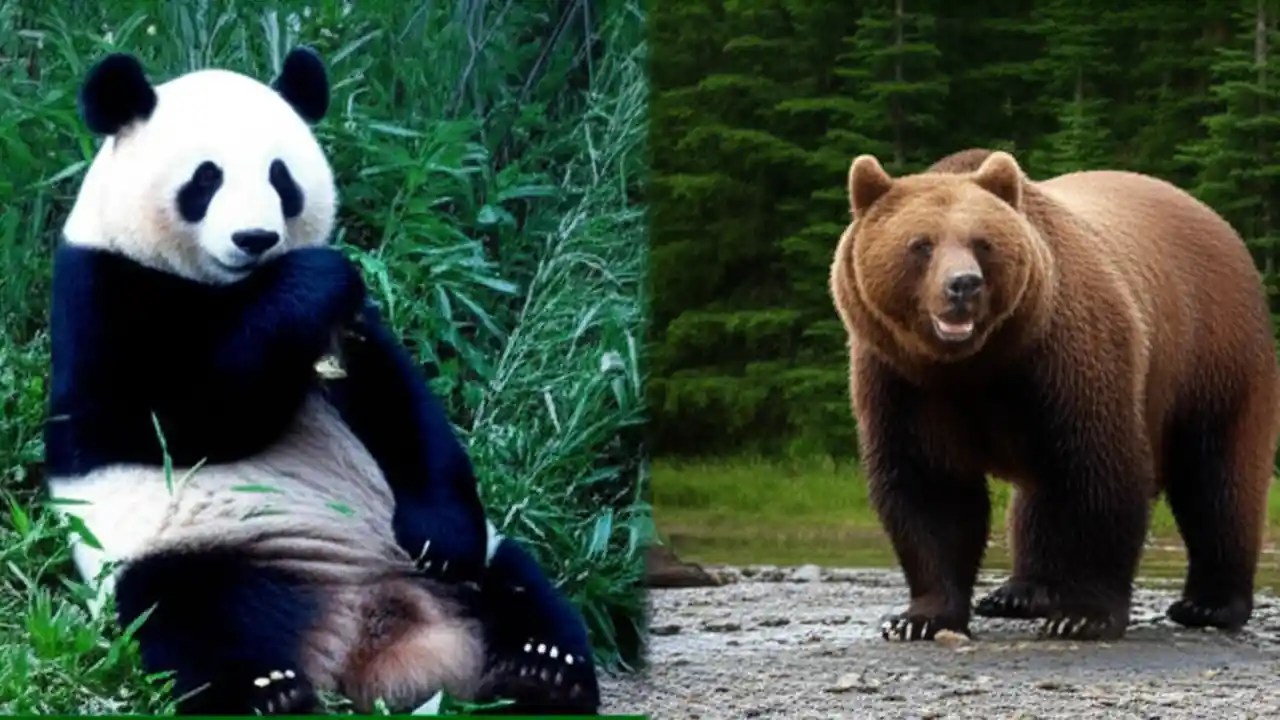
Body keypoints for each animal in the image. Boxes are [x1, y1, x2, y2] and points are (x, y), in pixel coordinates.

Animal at [42, 46, 600, 716]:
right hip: (193, 552)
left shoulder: (356, 337)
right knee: (184, 616)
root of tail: (366, 627)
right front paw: (311, 281)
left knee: (518, 582)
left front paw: (440, 540)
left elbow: (400, 404)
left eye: (281, 178)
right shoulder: (103, 299)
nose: (254, 238)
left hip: (479, 564)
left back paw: (543, 669)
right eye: (205, 180)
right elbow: (173, 420)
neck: (233, 288)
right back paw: (267, 690)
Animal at [828, 149, 1280, 641]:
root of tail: (1222, 226)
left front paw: (1083, 615)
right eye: (921, 244)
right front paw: (919, 618)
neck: (976, 363)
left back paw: (1209, 604)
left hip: (1214, 359)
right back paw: (1018, 593)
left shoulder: (1069, 358)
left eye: (982, 243)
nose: (963, 284)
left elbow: (1099, 474)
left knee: (1218, 482)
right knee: (1038, 499)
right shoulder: (904, 382)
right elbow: (930, 486)